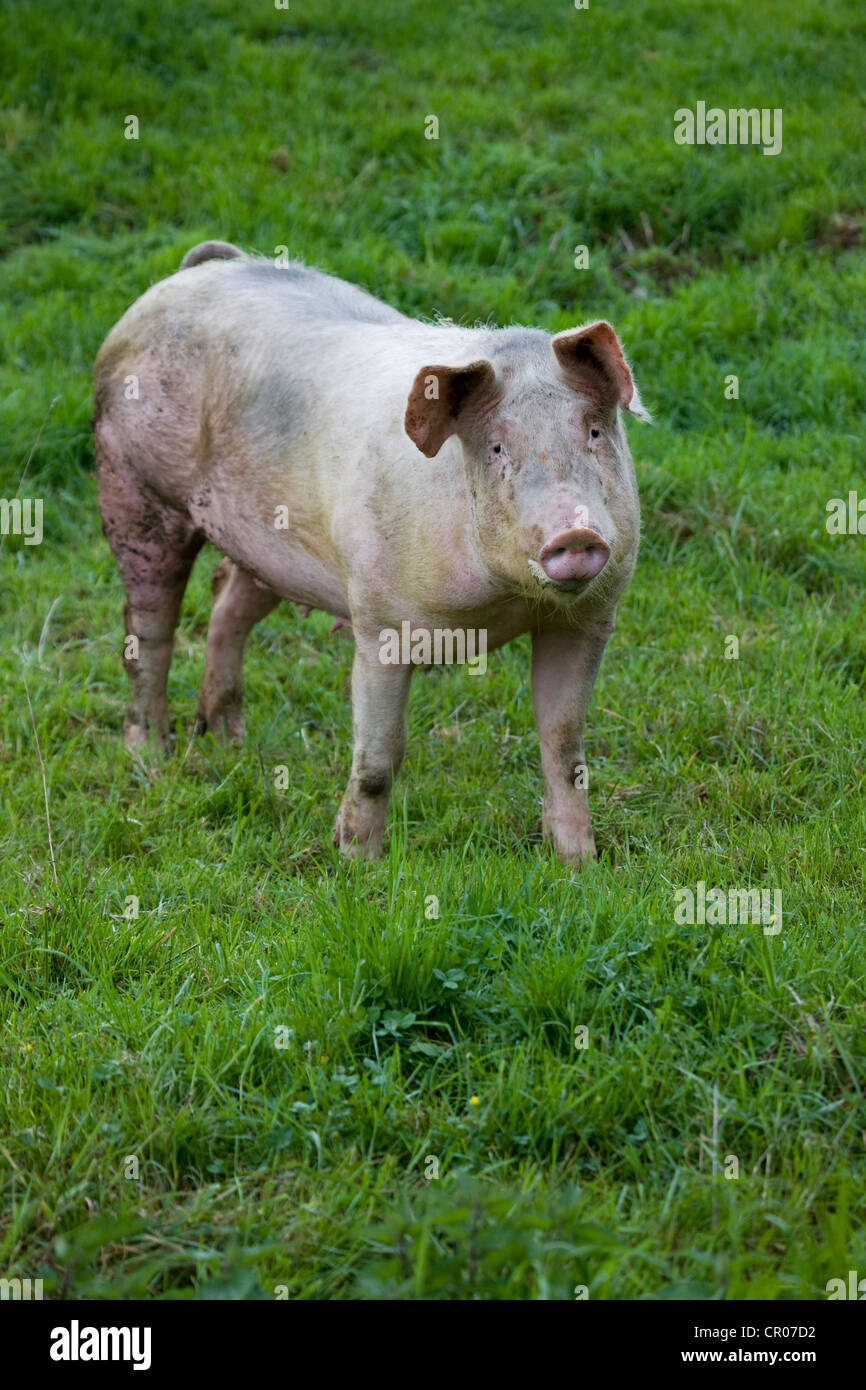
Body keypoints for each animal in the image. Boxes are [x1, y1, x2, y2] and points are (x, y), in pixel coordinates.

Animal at [93, 241, 649, 865]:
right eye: (498, 447)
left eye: (595, 432)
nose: (575, 533)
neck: (502, 603)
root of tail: (198, 271)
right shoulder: (380, 622)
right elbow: (380, 756)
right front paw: (358, 866)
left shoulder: (587, 618)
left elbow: (564, 747)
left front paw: (580, 865)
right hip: (132, 484)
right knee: (149, 630)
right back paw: (152, 757)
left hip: (269, 548)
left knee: (225, 605)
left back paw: (228, 742)